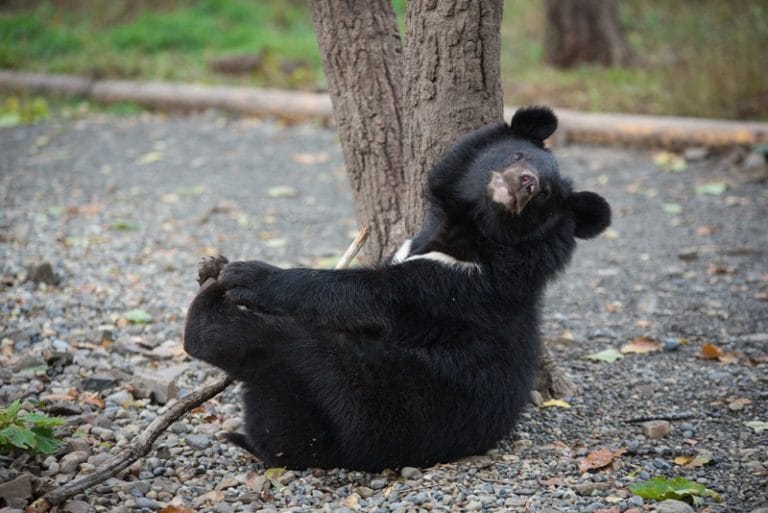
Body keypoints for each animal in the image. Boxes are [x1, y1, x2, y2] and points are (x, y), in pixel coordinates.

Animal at [183, 106, 611, 471]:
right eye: (518, 156)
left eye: (545, 195)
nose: (526, 183)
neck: (467, 232)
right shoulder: (409, 249)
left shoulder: (455, 288)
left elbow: (362, 295)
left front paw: (245, 274)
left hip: (350, 396)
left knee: (272, 345)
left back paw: (209, 302)